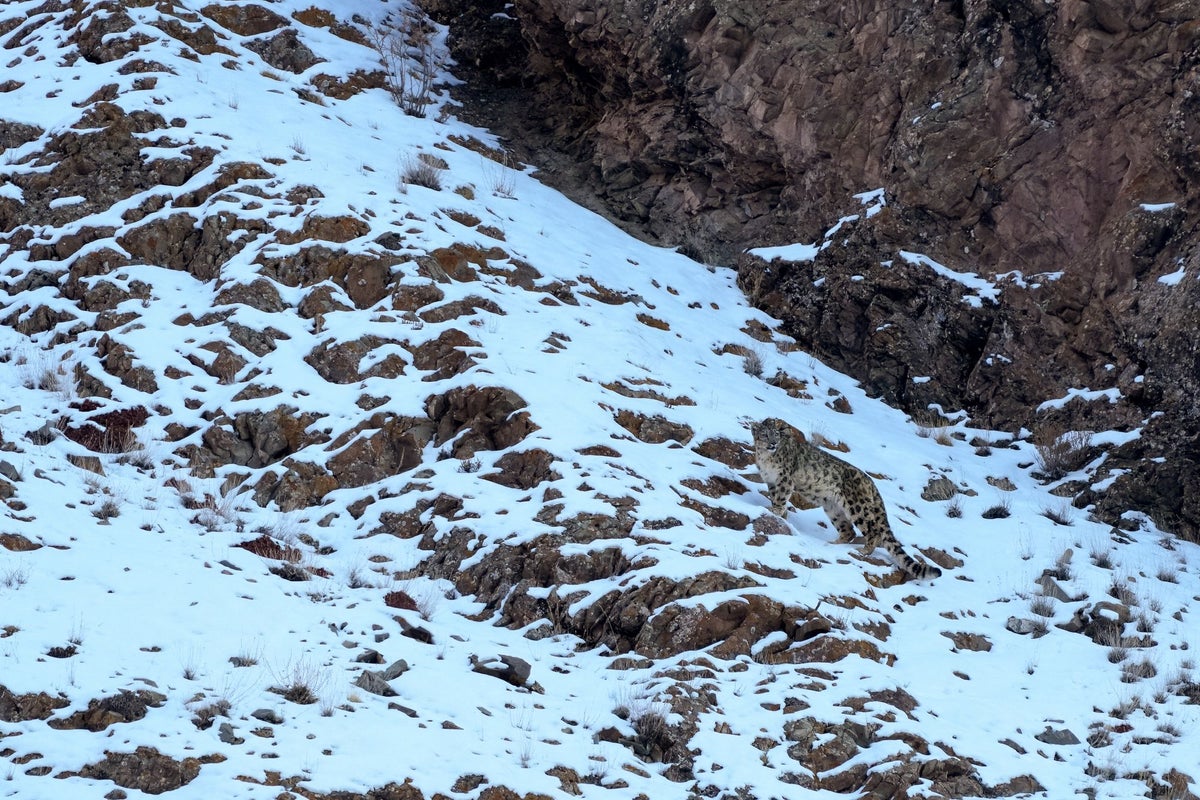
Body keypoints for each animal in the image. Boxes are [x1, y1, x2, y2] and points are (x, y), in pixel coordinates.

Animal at [750, 417, 942, 581]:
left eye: (776, 434)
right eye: (765, 434)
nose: (773, 443)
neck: (765, 458)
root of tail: (871, 482)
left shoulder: (784, 480)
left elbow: (780, 499)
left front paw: (775, 512)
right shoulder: (771, 481)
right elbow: (775, 498)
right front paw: (780, 514)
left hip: (856, 506)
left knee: (873, 529)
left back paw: (863, 550)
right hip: (833, 508)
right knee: (848, 530)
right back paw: (832, 544)